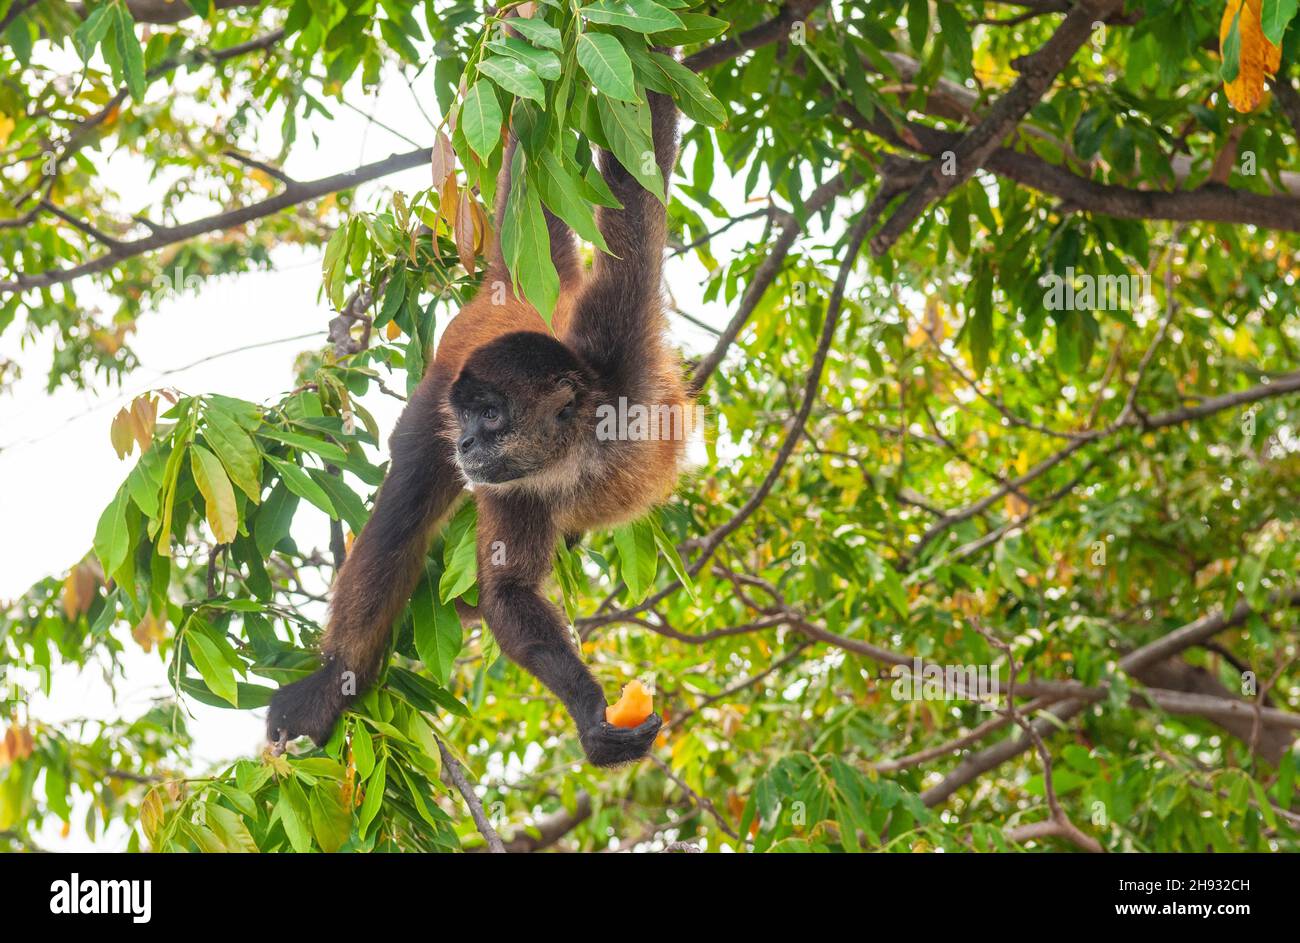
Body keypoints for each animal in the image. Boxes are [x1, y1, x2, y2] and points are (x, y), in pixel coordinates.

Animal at [264, 80, 691, 767]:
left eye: (492, 414)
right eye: (470, 416)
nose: (464, 440)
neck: (582, 448)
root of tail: (510, 292)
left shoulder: (616, 348)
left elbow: (637, 184)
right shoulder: (511, 479)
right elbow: (508, 592)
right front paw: (592, 716)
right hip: (434, 399)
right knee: (403, 512)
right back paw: (334, 681)